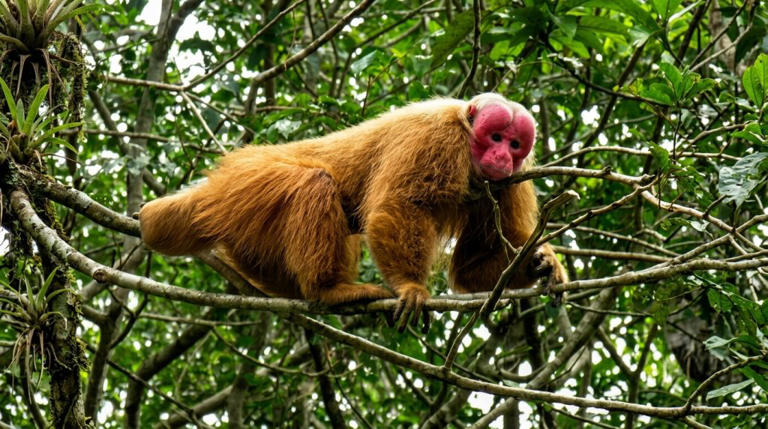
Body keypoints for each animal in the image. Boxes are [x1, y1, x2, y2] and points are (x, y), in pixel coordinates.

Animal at [139, 93, 568, 329]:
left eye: (515, 144)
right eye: (494, 137)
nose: (501, 157)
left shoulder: (509, 182)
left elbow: (469, 268)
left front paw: (540, 262)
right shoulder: (434, 139)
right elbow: (399, 205)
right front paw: (410, 287)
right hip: (251, 180)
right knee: (315, 183)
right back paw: (329, 290)